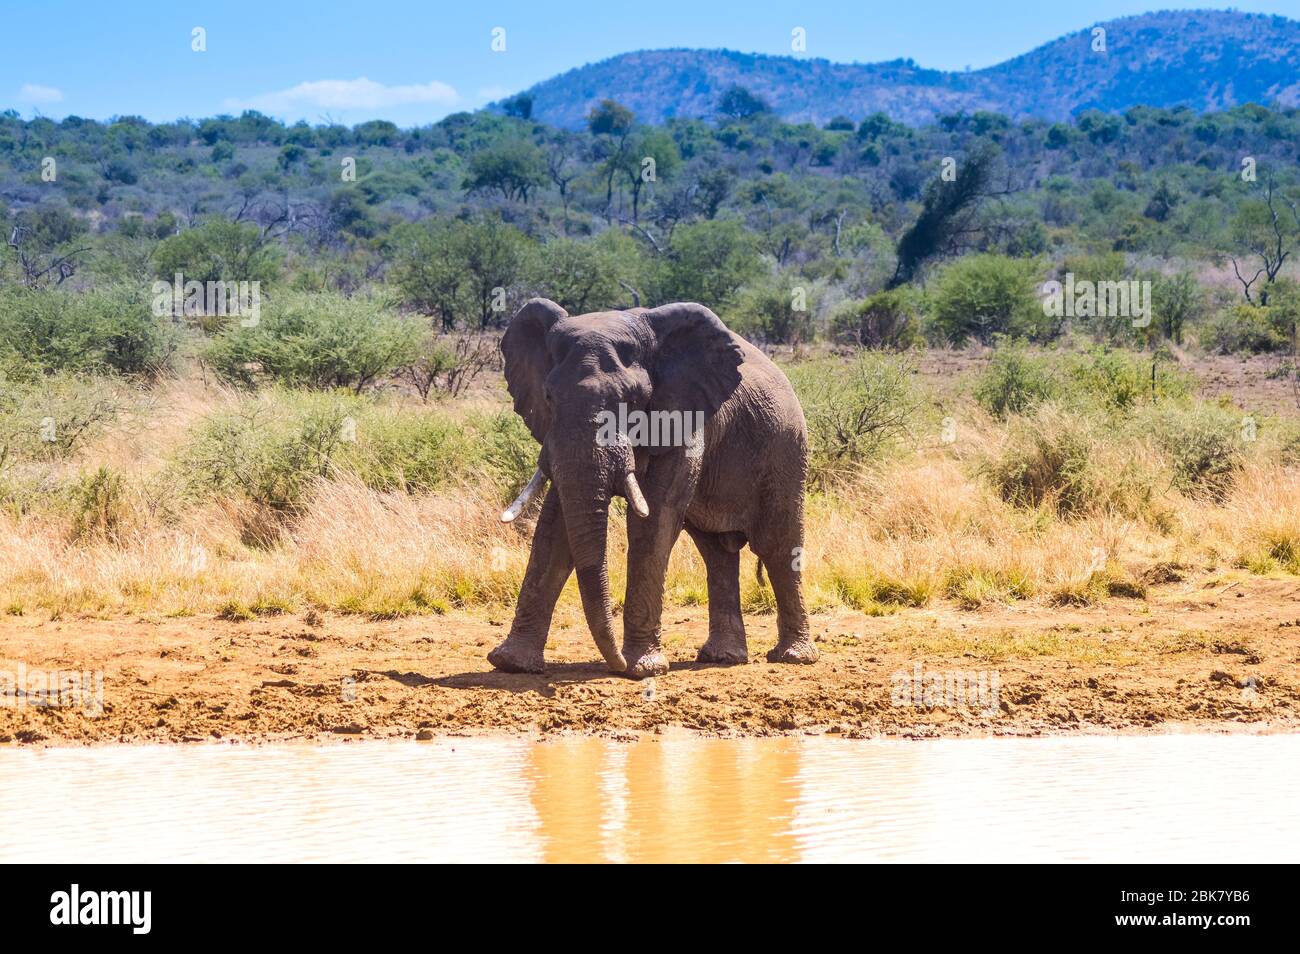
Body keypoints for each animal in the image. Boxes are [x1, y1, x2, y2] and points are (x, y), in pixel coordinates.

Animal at [488, 297, 817, 679]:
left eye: (631, 400)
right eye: (548, 396)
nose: (614, 662)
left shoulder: (684, 417)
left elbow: (654, 521)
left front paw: (641, 668)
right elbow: (556, 525)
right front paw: (511, 664)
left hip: (785, 449)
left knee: (778, 545)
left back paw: (794, 657)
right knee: (716, 553)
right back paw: (723, 657)